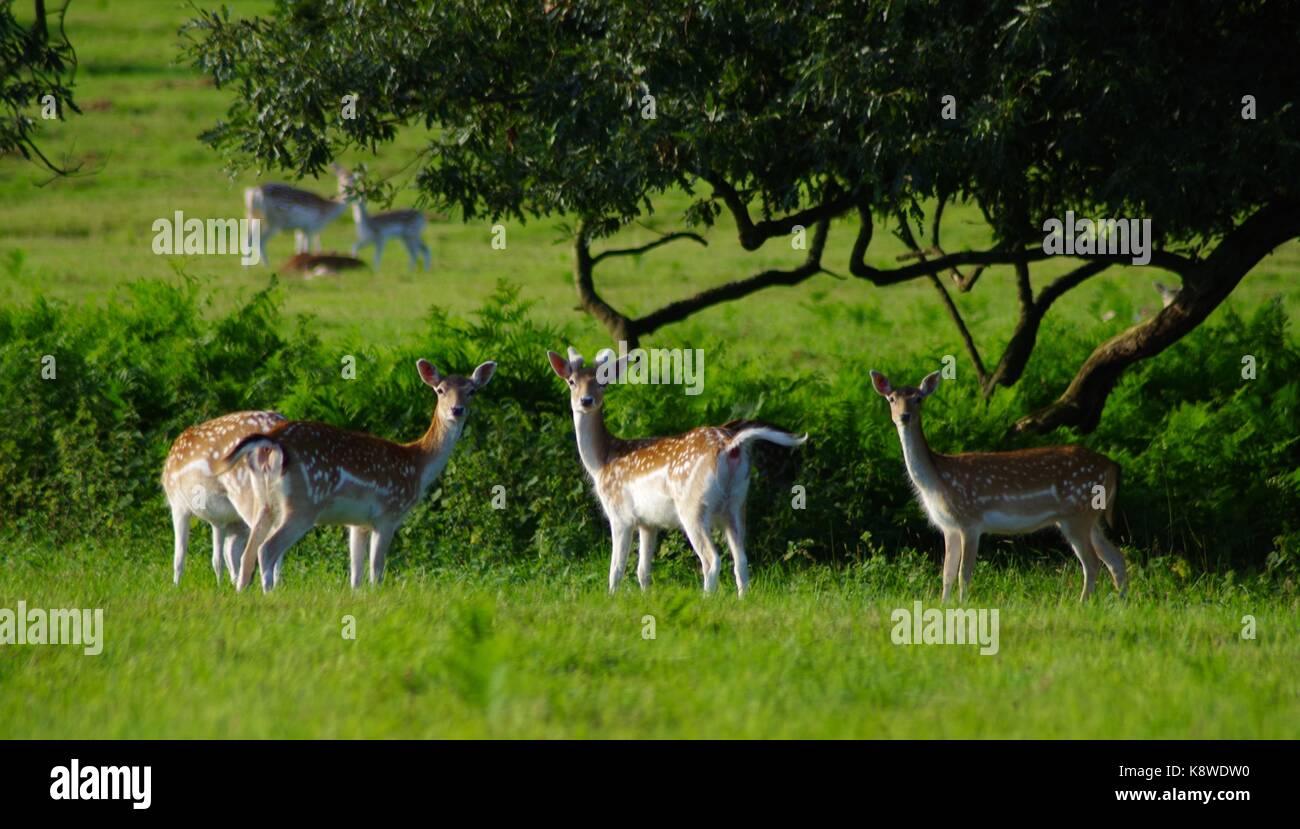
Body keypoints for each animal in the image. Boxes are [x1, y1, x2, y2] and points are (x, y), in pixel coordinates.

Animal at [162, 410, 287, 586]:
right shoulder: (222, 520)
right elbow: (222, 557)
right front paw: (224, 585)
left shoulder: (178, 505)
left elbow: (179, 557)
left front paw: (176, 587)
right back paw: (274, 584)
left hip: (248, 493)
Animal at [211, 359, 496, 593]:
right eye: (440, 390)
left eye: (472, 391)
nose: (457, 410)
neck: (418, 466)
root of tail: (272, 443)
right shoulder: (388, 513)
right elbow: (376, 571)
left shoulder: (358, 523)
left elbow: (356, 576)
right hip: (303, 503)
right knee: (266, 550)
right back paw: (269, 594)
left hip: (264, 500)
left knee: (247, 553)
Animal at [547, 347, 807, 597]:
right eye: (571, 381)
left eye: (602, 382)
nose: (586, 400)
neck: (602, 461)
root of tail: (730, 445)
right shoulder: (648, 522)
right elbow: (643, 570)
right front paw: (646, 597)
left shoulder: (620, 513)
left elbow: (616, 569)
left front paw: (611, 597)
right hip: (736, 502)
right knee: (741, 560)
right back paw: (742, 599)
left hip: (693, 505)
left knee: (712, 560)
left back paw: (706, 598)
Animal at [870, 370, 1127, 602]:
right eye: (891, 398)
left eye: (918, 399)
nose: (904, 416)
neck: (937, 481)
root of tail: (1112, 466)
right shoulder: (948, 526)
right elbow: (947, 574)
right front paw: (944, 606)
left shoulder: (970, 520)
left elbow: (964, 574)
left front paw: (962, 606)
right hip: (1090, 517)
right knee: (1116, 559)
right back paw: (1121, 603)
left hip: (1076, 514)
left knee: (1092, 562)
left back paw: (1082, 603)